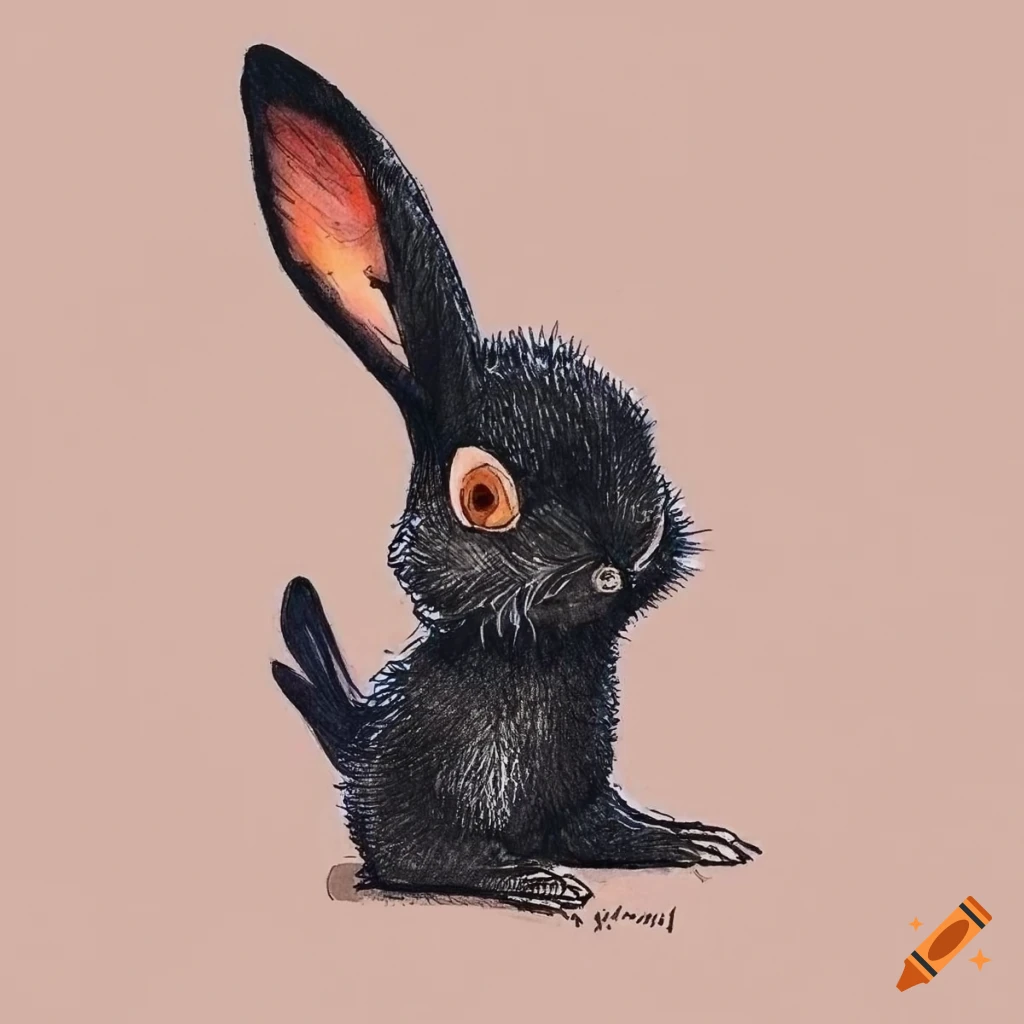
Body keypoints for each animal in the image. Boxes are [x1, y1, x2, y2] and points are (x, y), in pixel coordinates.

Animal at [241, 43, 761, 912]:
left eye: (644, 445)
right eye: (483, 498)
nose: (625, 559)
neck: (536, 659)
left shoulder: (584, 801)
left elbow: (612, 829)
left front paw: (694, 839)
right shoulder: (420, 813)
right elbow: (435, 859)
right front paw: (535, 881)